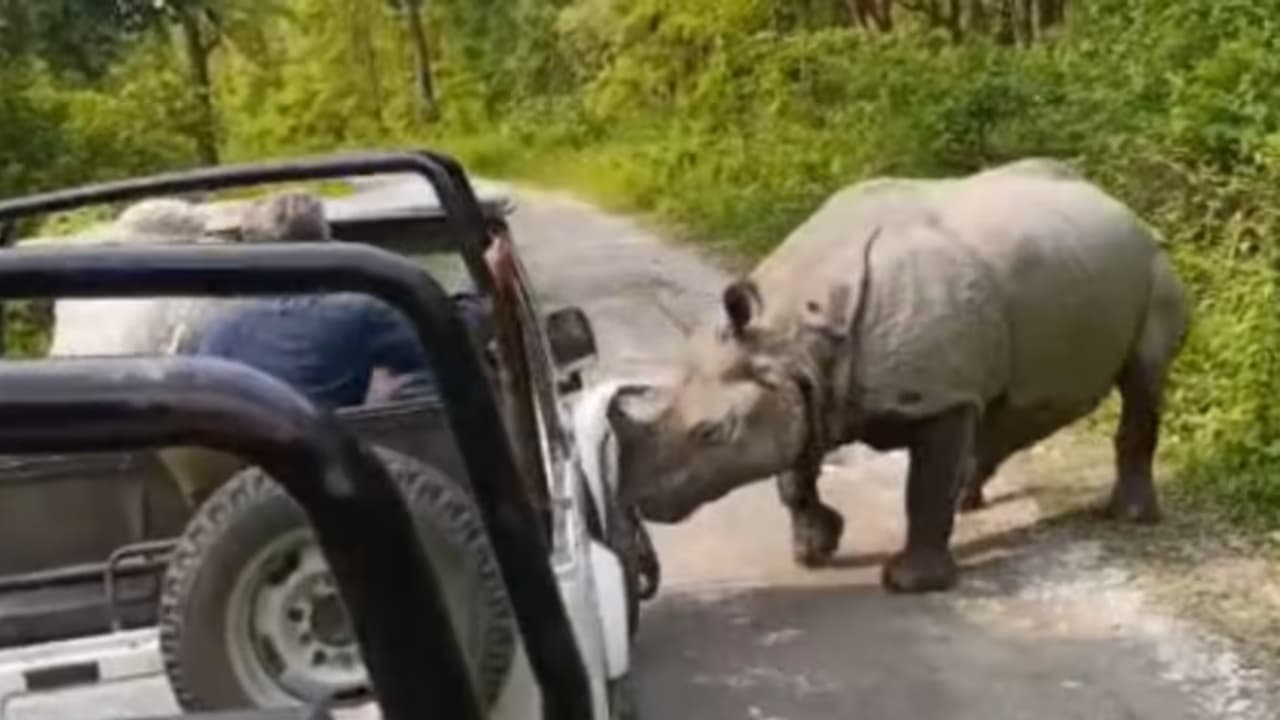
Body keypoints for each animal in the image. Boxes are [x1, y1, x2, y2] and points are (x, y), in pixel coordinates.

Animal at [608, 158, 1190, 594]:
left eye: (711, 433)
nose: (644, 502)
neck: (795, 331)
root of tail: (1121, 206)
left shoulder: (936, 397)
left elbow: (922, 488)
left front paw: (908, 583)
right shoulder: (802, 382)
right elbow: (794, 471)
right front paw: (814, 550)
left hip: (1154, 264)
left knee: (1143, 377)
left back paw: (1130, 516)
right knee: (999, 406)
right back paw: (970, 500)